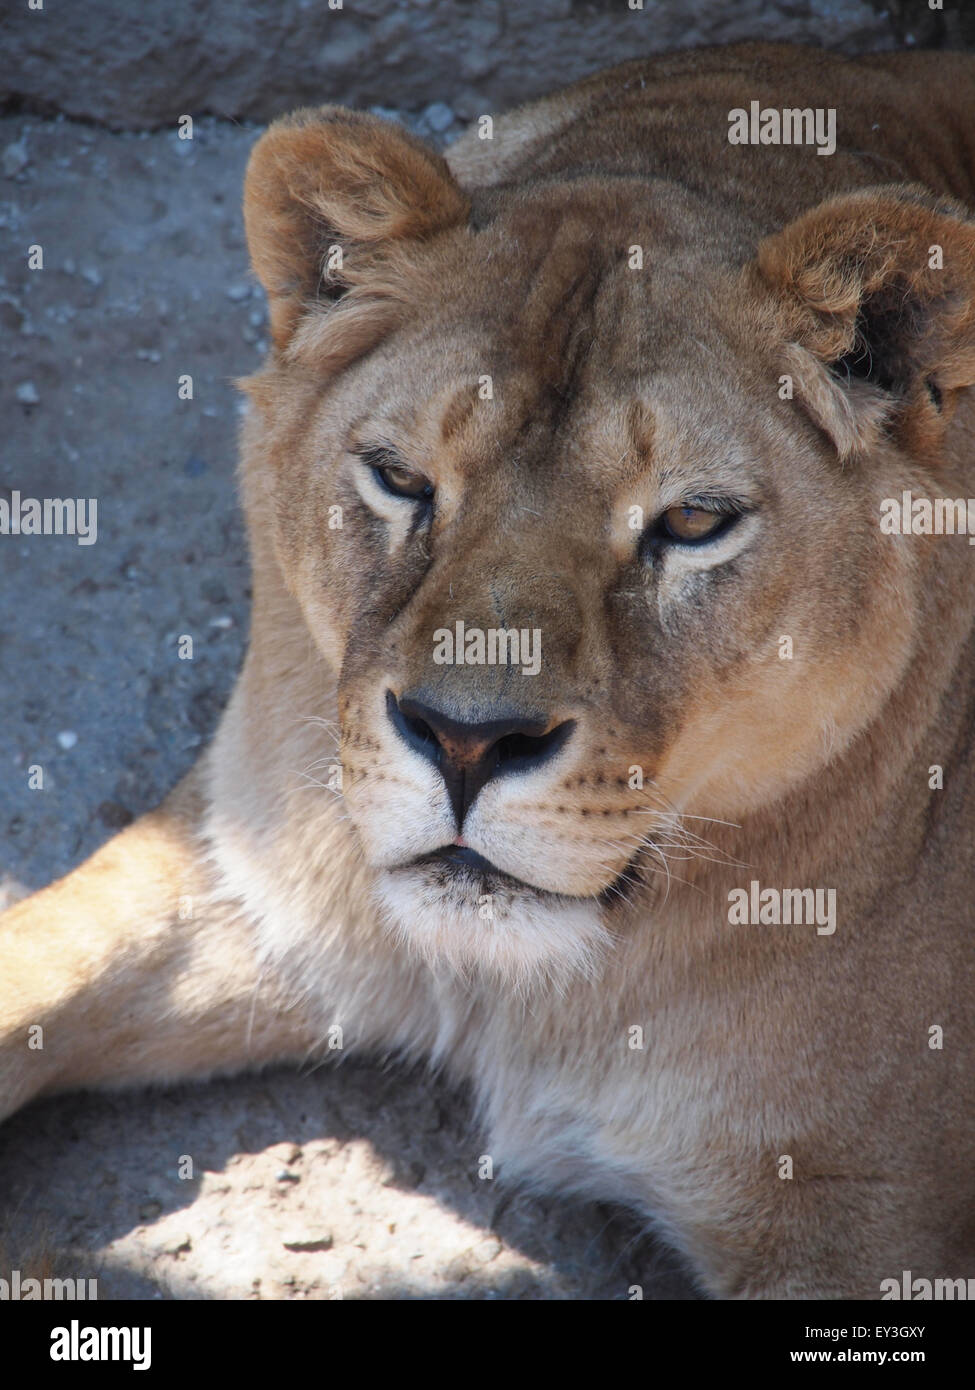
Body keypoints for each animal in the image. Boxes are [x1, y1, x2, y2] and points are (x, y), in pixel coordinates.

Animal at [2, 41, 975, 1300]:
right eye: (400, 478)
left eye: (695, 521)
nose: (467, 742)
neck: (512, 990)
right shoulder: (241, 861)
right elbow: (35, 960)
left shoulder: (859, 1222)